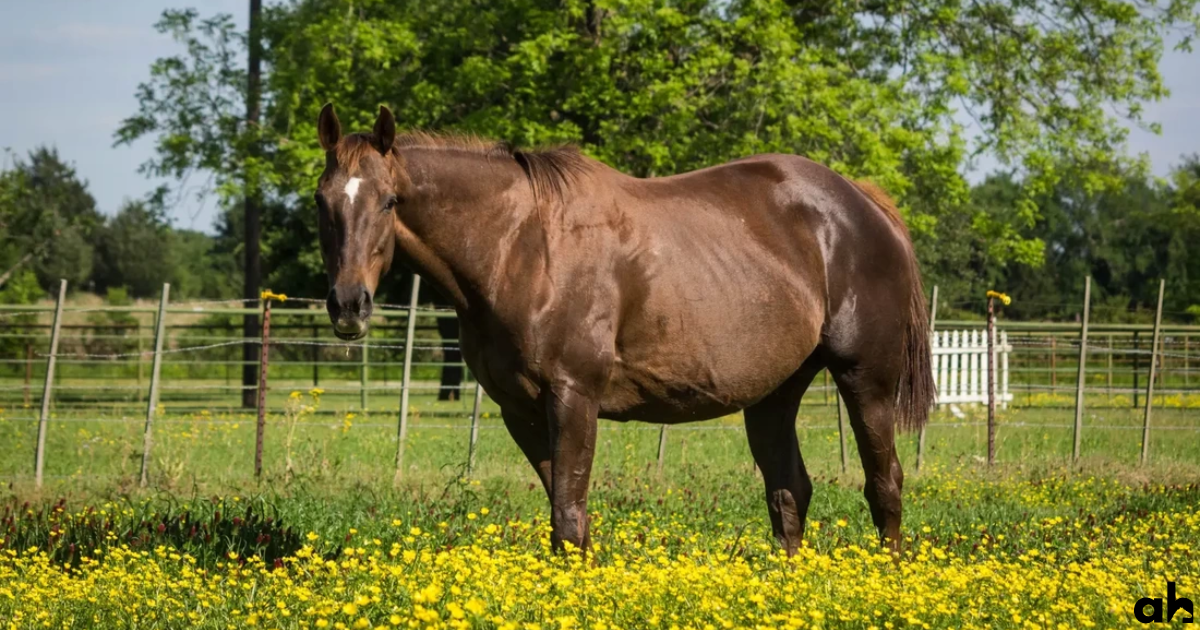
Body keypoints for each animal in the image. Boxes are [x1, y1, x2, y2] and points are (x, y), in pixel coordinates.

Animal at [313, 104, 934, 555]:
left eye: (390, 200)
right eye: (322, 203)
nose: (349, 305)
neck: (520, 247)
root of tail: (862, 202)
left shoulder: (573, 397)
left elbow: (568, 515)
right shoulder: (521, 410)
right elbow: (567, 517)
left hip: (865, 381)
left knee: (884, 485)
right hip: (774, 395)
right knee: (789, 492)